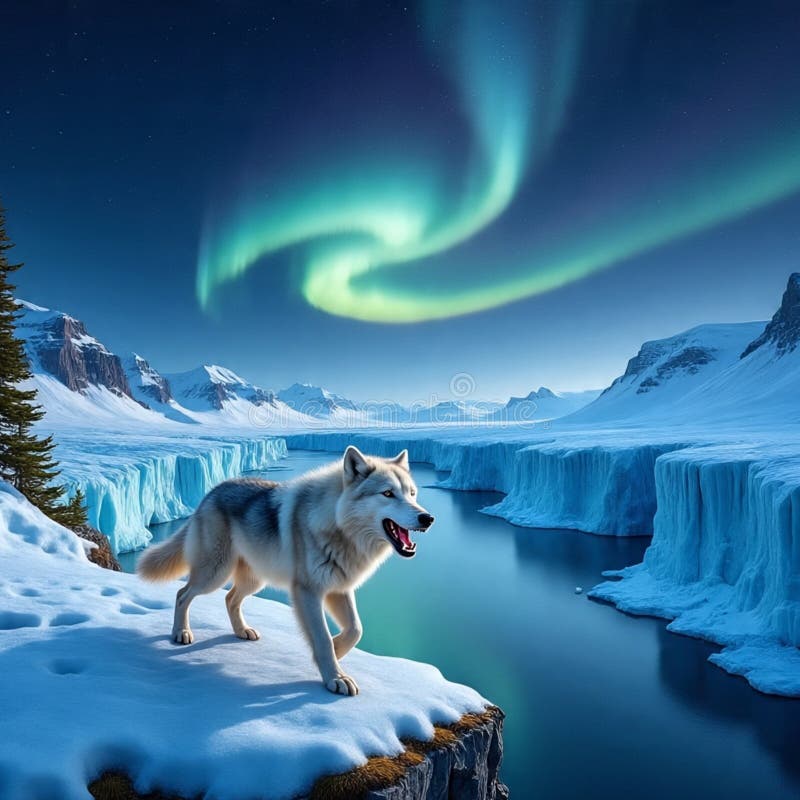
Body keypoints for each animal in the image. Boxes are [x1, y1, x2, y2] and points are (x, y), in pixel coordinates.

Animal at [137, 446, 434, 696]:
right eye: (387, 493)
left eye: (412, 493)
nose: (427, 518)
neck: (337, 527)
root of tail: (210, 493)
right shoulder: (308, 591)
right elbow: (322, 638)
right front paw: (334, 676)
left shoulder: (339, 588)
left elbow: (355, 630)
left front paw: (337, 654)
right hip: (214, 574)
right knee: (182, 593)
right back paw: (180, 633)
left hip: (254, 580)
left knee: (229, 599)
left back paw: (242, 631)